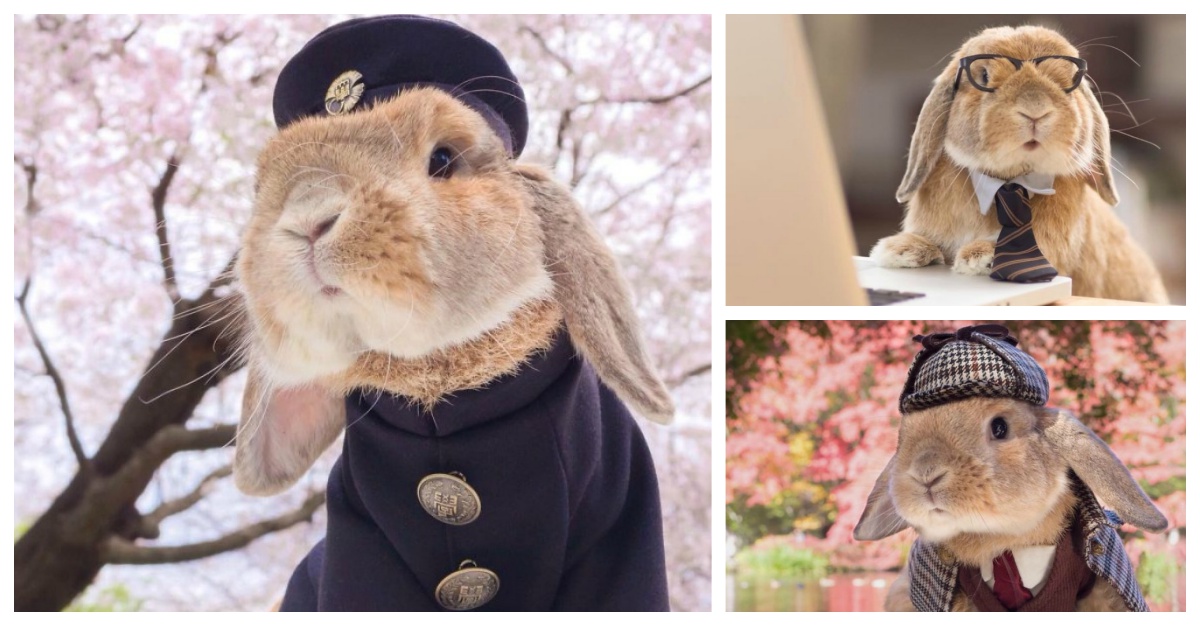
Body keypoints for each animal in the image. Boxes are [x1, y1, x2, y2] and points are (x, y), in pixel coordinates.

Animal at [869, 25, 1168, 303]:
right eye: (984, 76)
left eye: (1069, 80)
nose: (1035, 110)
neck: (1008, 181)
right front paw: (899, 249)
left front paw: (981, 256)